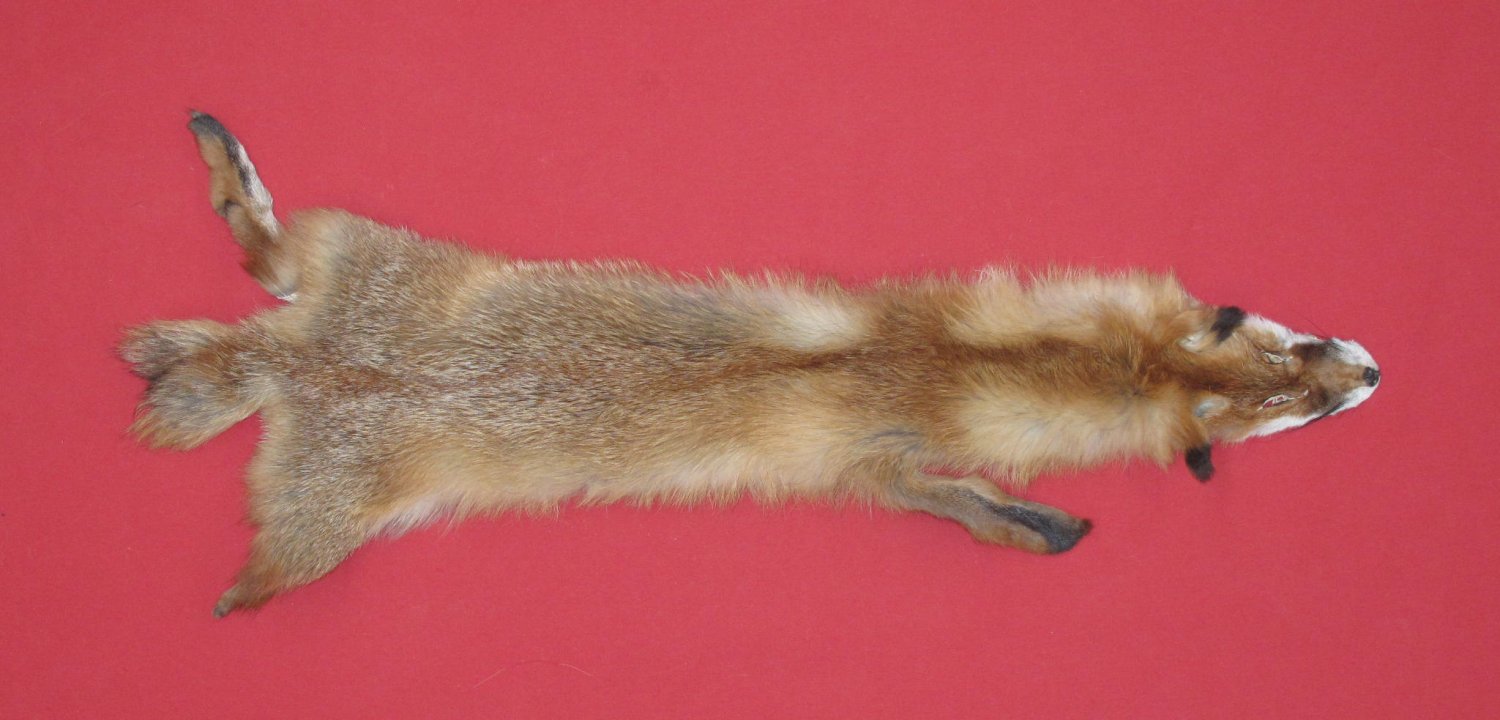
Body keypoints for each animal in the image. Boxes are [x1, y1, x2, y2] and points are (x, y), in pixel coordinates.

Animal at [121, 113, 1381, 617]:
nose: (1369, 373)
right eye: (1295, 400)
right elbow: (968, 512)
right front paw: (1044, 529)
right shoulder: (887, 467)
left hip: (349, 284)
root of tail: (297, 374)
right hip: (349, 418)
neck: (945, 368)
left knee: (265, 262)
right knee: (265, 262)